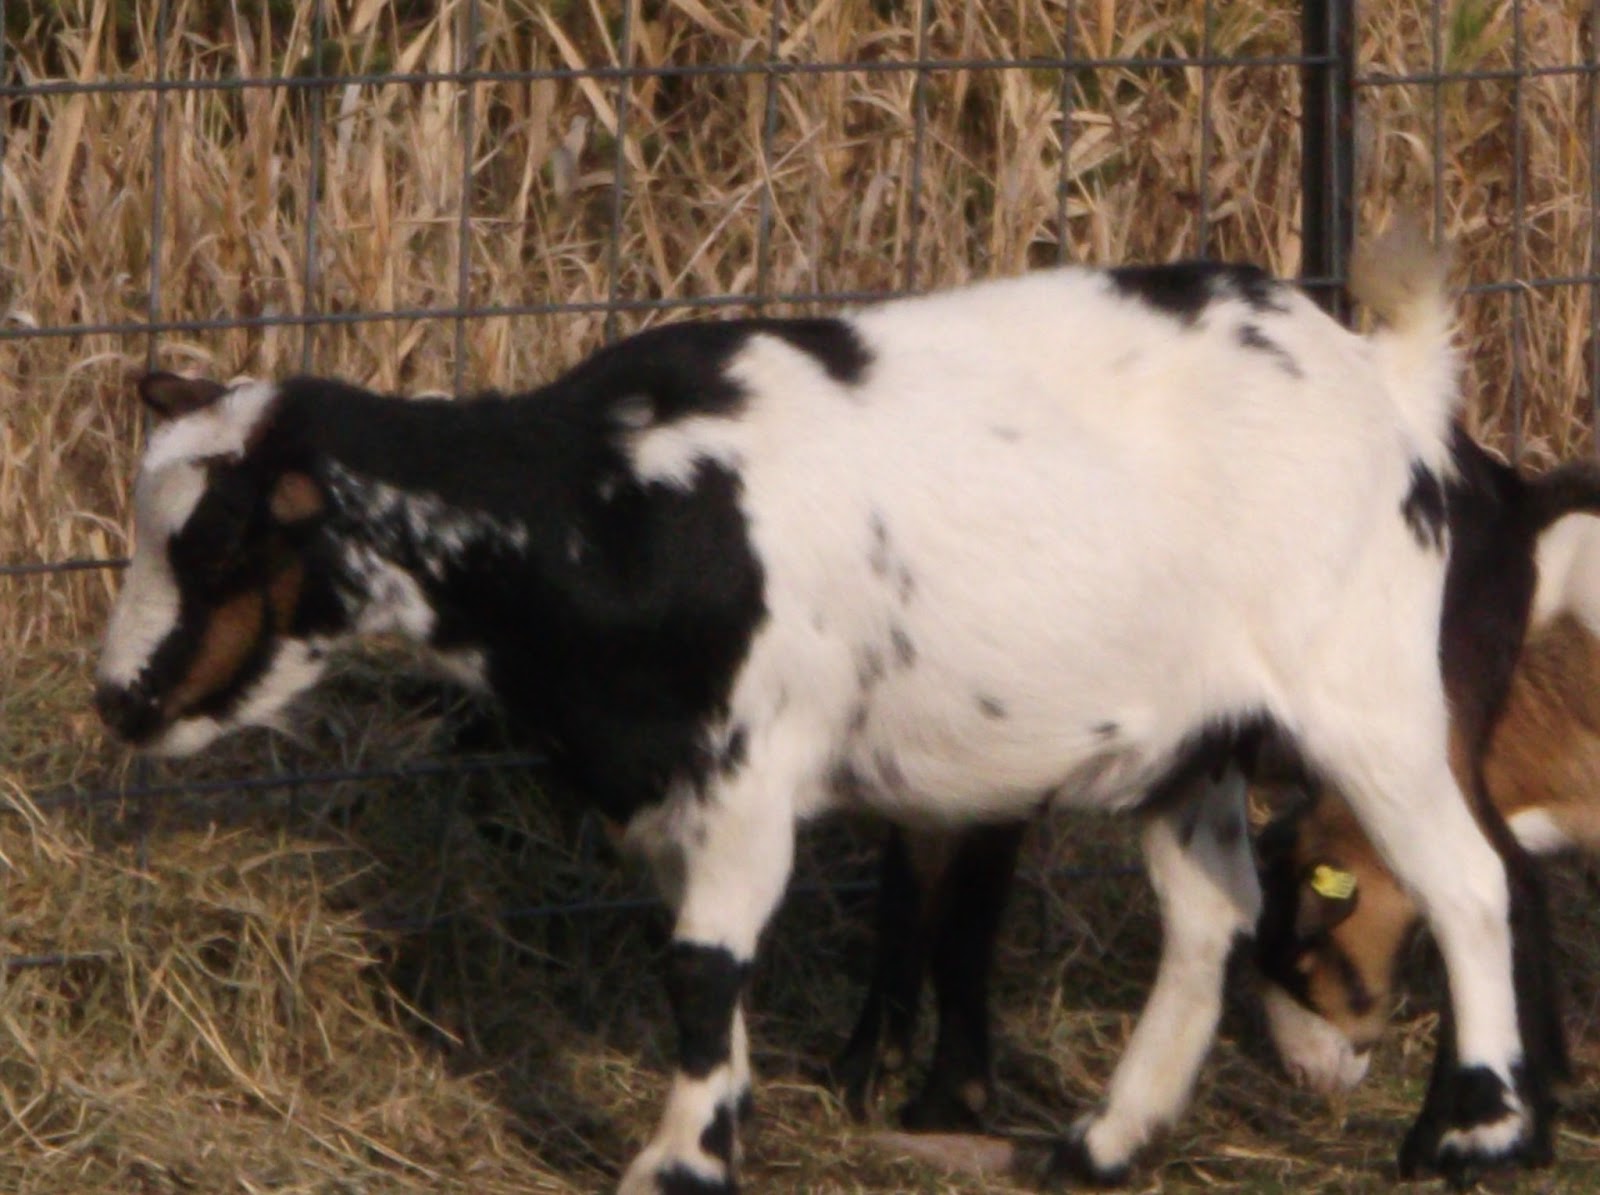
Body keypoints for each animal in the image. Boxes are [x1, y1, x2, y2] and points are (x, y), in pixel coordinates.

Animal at [94, 228, 1556, 1191]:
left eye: (223, 545)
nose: (120, 697)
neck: (602, 505)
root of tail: (1379, 376)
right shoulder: (673, 784)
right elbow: (708, 967)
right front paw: (724, 1118)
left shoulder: (750, 766)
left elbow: (699, 966)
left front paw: (678, 1162)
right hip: (1191, 737)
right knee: (1212, 914)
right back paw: (1106, 1139)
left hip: (1365, 687)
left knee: (1468, 876)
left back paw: (1476, 1132)